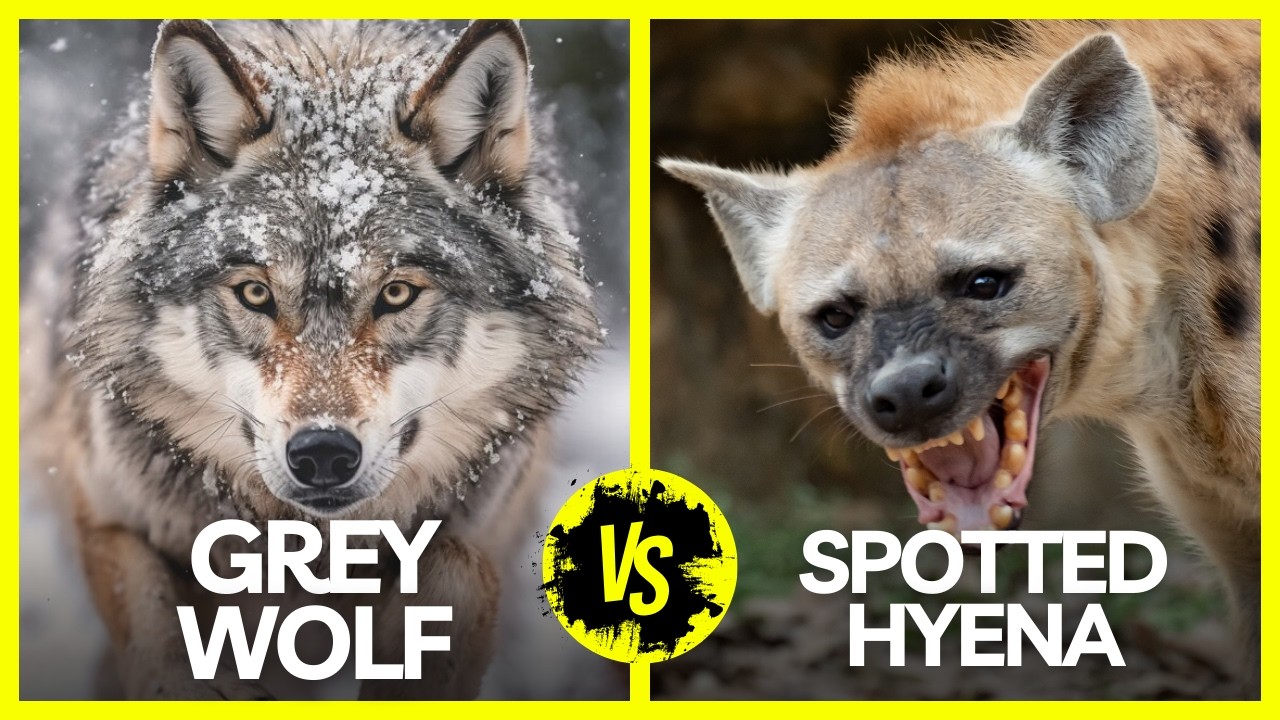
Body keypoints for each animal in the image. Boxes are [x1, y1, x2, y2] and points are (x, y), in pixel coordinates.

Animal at [21, 19, 600, 699]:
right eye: (255, 294)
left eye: (396, 294)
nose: (323, 453)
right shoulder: (107, 523)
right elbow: (160, 632)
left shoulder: (474, 543)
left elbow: (451, 575)